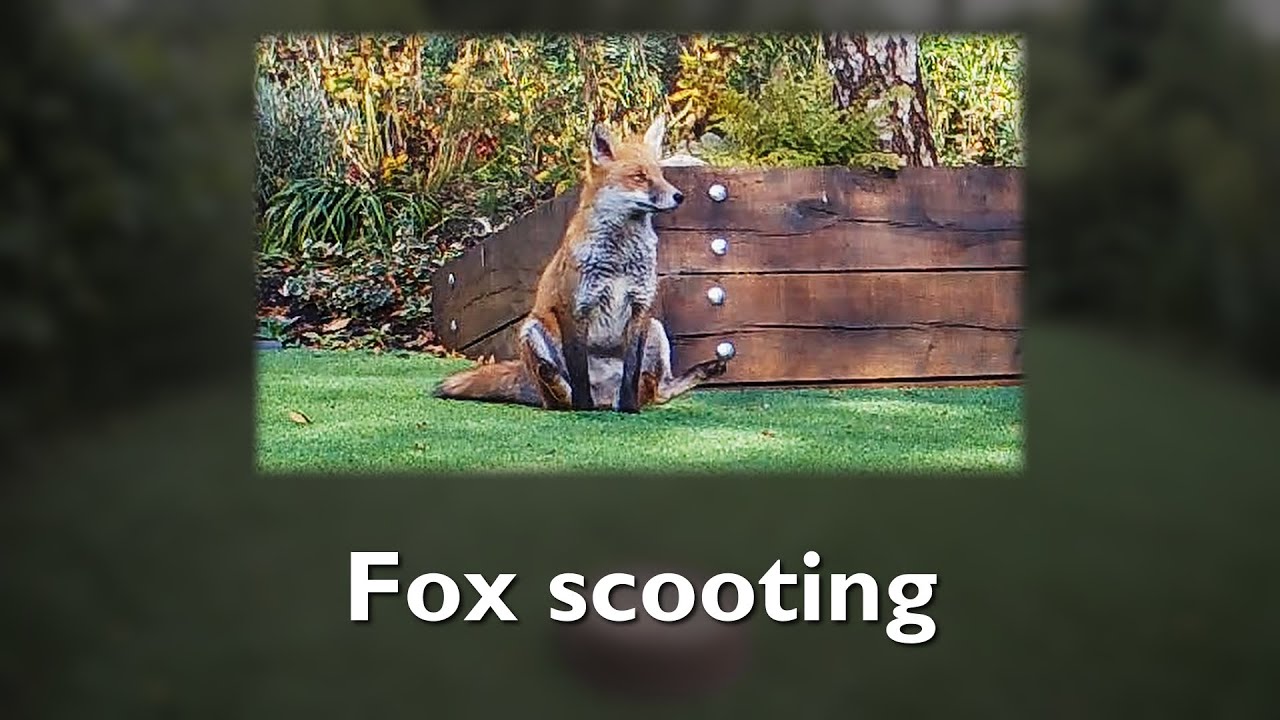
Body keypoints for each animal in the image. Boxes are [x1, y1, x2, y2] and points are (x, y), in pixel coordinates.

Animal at [434, 115, 729, 412]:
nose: (680, 196)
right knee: (557, 397)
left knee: (657, 391)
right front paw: (583, 407)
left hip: (655, 328)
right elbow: (578, 372)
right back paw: (556, 382)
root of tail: (605, 399)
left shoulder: (639, 308)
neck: (619, 258)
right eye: (639, 177)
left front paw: (629, 408)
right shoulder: (575, 308)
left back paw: (701, 372)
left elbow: (632, 372)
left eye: (660, 175)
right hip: (531, 328)